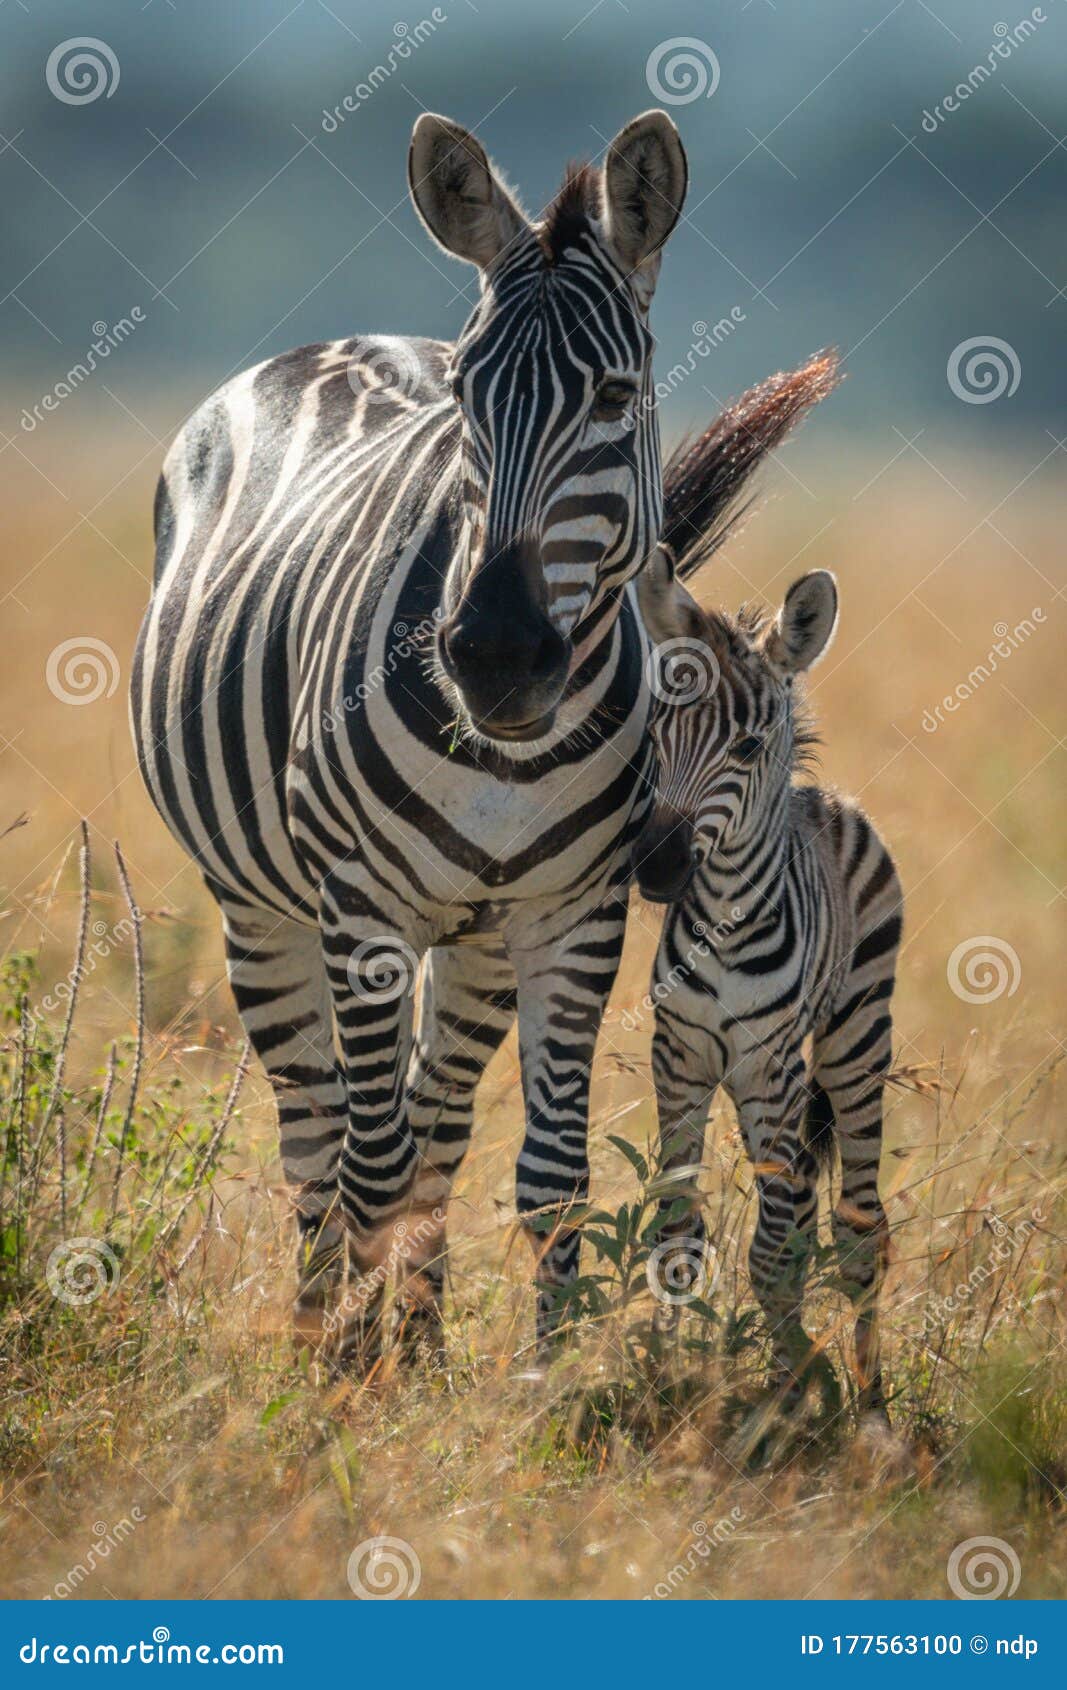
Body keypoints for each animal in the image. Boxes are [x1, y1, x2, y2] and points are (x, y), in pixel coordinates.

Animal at [130, 95, 832, 1363]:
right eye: (464, 395)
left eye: (614, 395)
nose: (496, 655)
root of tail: (340, 341)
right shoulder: (360, 906)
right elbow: (365, 1166)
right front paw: (343, 1377)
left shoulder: (573, 916)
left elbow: (548, 1175)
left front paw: (536, 1377)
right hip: (261, 907)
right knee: (320, 1135)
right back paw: (321, 1329)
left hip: (471, 938)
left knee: (437, 1120)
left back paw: (415, 1337)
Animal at [632, 547, 902, 1419]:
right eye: (656, 730)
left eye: (747, 747)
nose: (655, 869)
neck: (723, 921)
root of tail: (818, 799)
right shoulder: (679, 1061)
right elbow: (676, 1234)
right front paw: (663, 1376)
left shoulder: (770, 1070)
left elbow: (771, 1253)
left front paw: (791, 1395)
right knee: (806, 1215)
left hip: (852, 1039)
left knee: (856, 1229)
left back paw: (869, 1403)